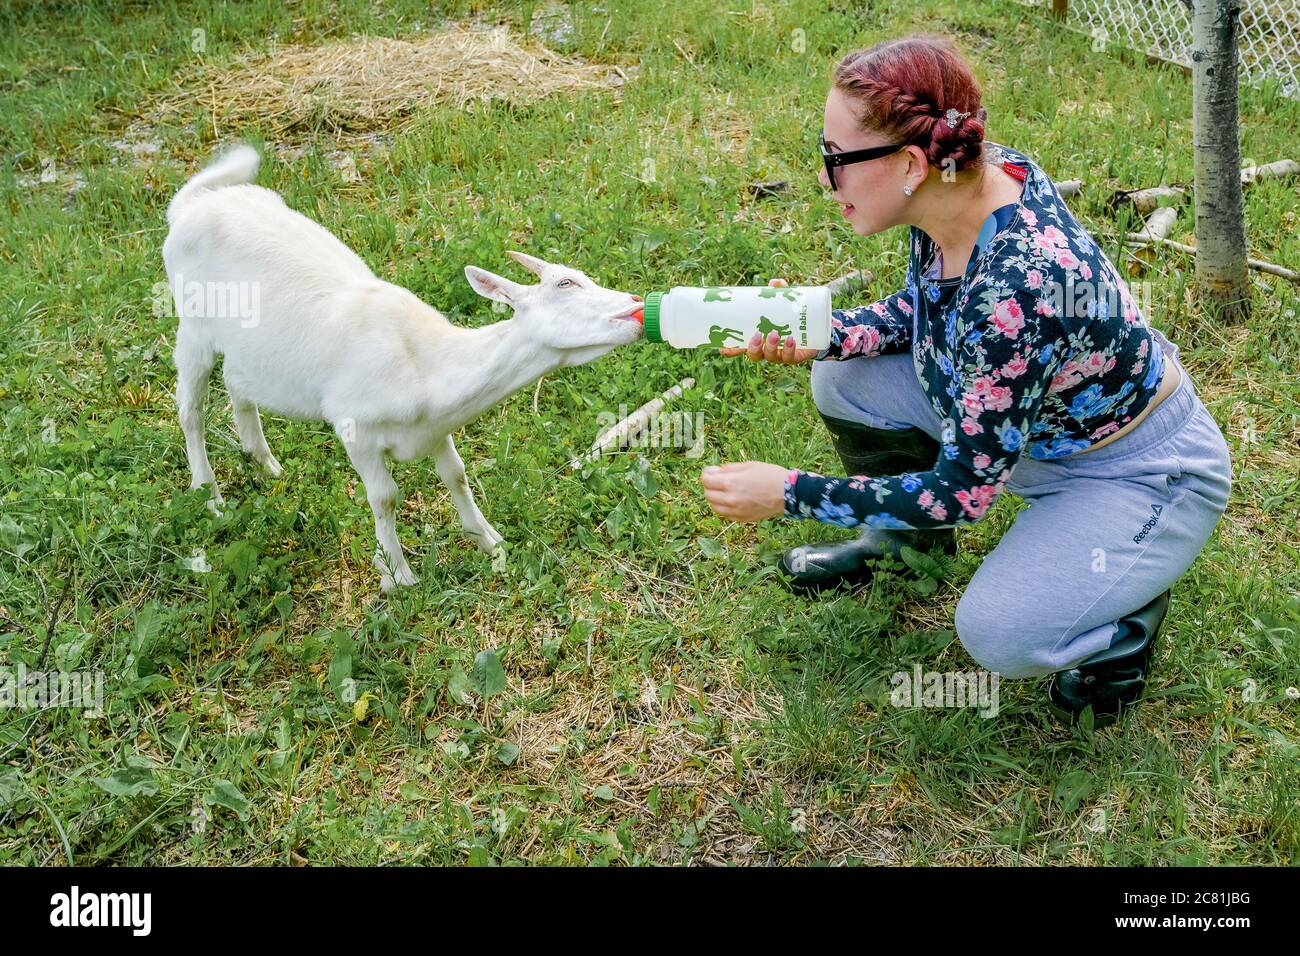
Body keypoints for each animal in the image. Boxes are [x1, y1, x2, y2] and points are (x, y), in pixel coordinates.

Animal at [163, 145, 644, 590]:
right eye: (565, 283)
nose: (637, 304)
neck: (425, 362)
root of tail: (187, 207)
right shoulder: (355, 427)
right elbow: (385, 497)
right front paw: (397, 576)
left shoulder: (435, 429)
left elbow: (457, 475)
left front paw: (489, 541)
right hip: (193, 327)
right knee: (190, 408)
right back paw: (210, 496)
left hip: (247, 349)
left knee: (236, 382)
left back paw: (265, 464)